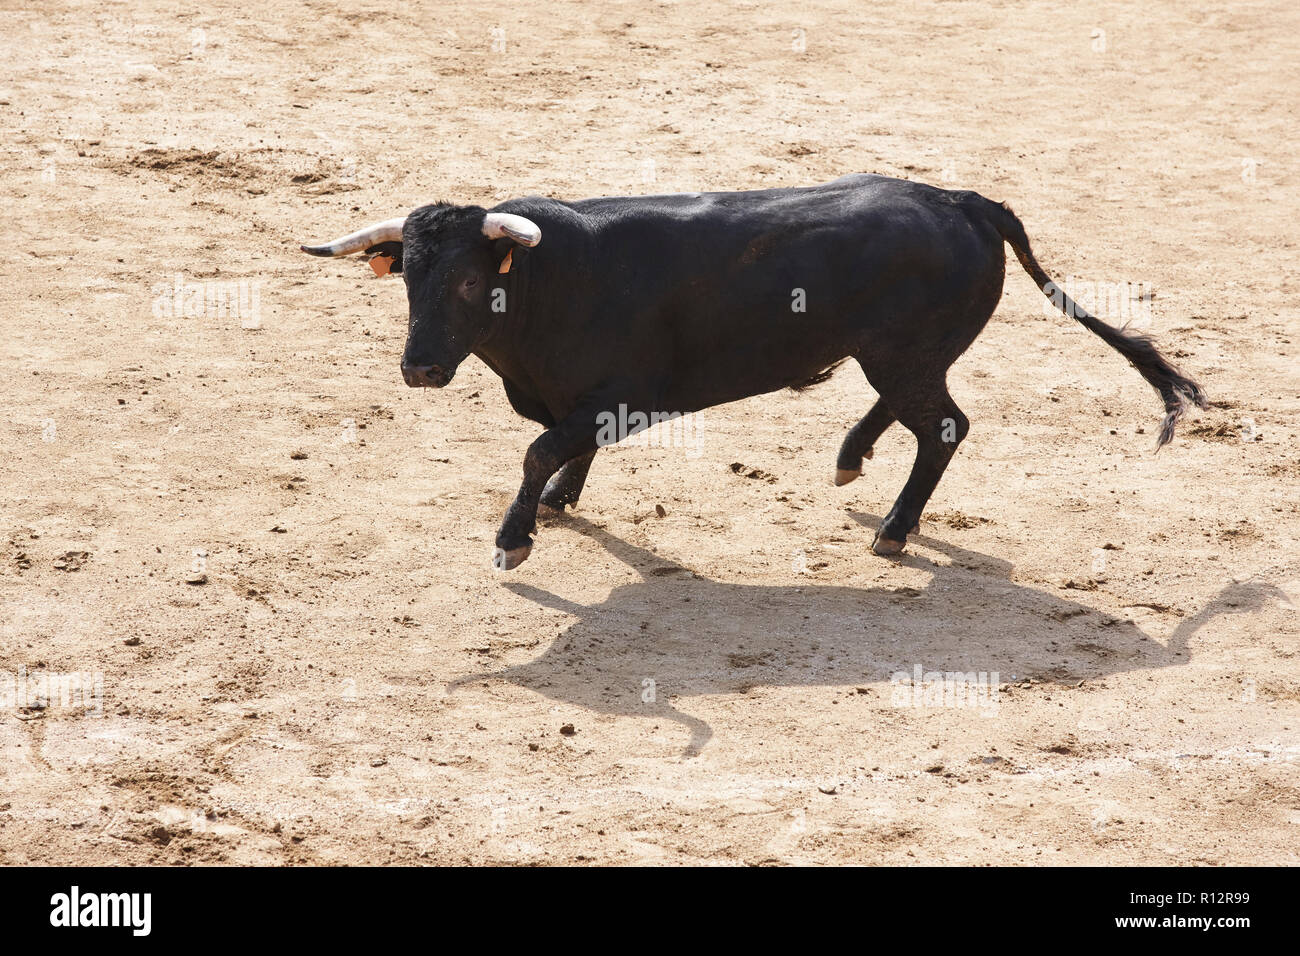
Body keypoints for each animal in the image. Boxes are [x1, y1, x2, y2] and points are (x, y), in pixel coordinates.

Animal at [301, 173, 1206, 570]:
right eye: (407, 279)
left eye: (466, 282)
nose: (419, 368)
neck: (551, 279)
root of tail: (960, 200)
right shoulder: (579, 400)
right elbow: (562, 449)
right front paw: (557, 504)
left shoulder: (618, 398)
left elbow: (542, 449)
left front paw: (514, 537)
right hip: (901, 355)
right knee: (908, 410)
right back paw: (849, 460)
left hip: (907, 354)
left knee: (945, 427)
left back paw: (893, 528)